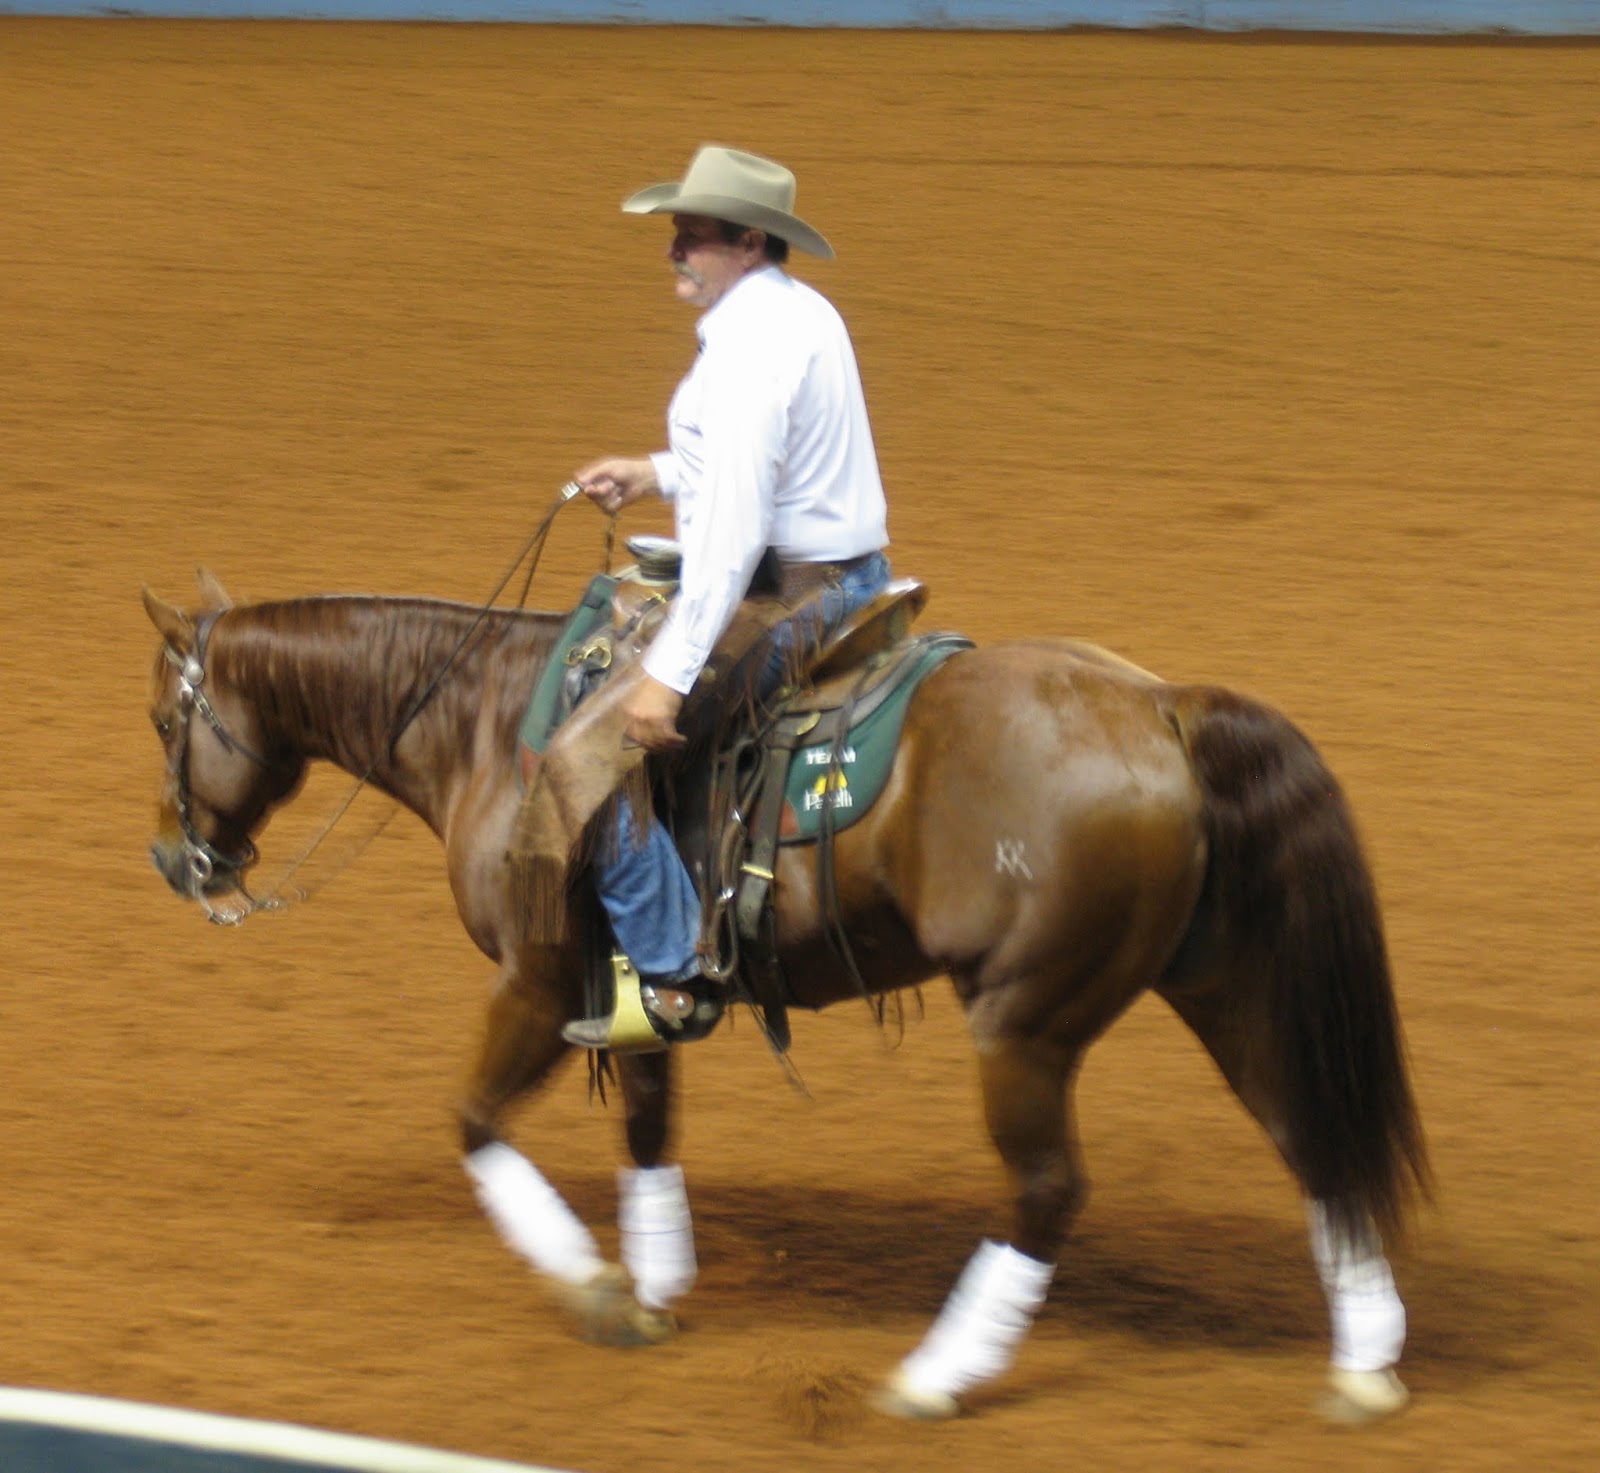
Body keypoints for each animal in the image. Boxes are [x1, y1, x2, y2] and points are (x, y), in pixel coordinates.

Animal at [141, 570, 1429, 1425]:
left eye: (164, 718)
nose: (174, 861)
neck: (489, 724)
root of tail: (1163, 707)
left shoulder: (536, 977)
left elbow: (473, 1123)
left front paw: (596, 1290)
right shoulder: (628, 994)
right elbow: (647, 1124)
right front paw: (655, 1285)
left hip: (1025, 1021)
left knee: (1050, 1191)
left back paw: (932, 1377)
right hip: (1218, 982)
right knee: (1310, 1134)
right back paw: (1364, 1361)